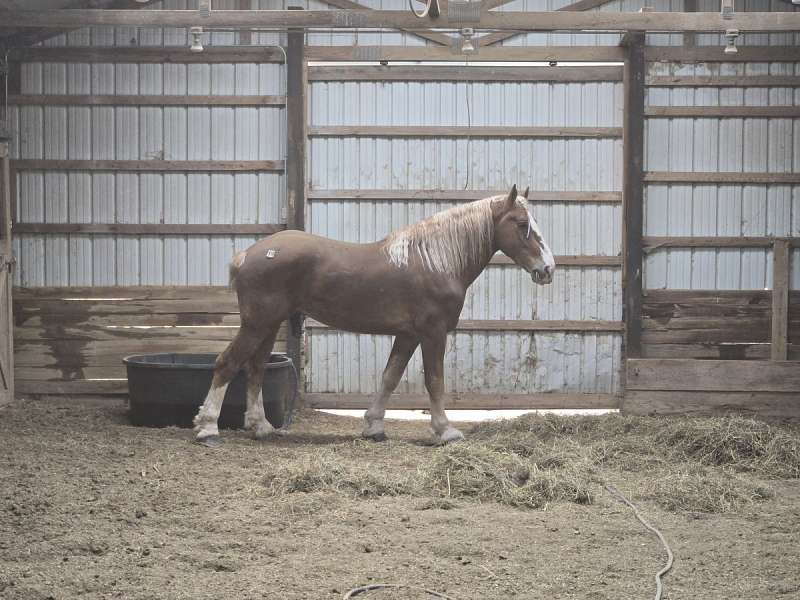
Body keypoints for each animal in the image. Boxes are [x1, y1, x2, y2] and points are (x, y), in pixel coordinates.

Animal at [193, 184, 555, 447]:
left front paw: (374, 426)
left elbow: (389, 377)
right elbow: (434, 380)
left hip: (268, 325)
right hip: (257, 323)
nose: (548, 269)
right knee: (227, 363)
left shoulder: (408, 335)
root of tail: (248, 254)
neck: (435, 262)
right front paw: (446, 431)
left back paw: (261, 427)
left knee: (255, 368)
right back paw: (208, 429)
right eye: (522, 225)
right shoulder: (433, 333)